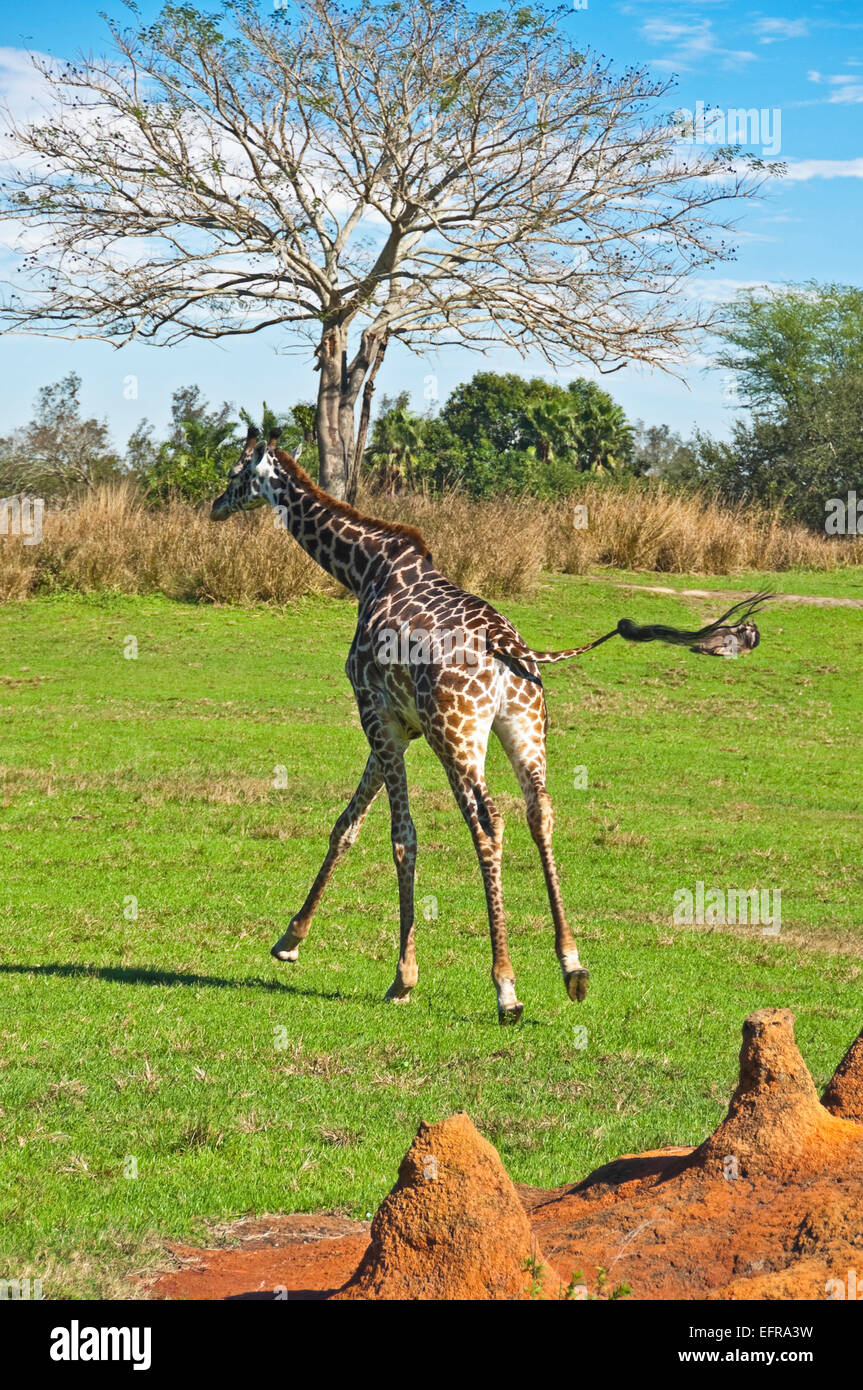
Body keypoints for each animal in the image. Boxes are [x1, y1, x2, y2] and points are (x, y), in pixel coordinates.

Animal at [211, 427, 769, 1023]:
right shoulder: (397, 725)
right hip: (524, 726)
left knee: (487, 822)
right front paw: (289, 940)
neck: (364, 570)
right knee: (539, 812)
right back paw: (572, 967)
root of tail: (509, 650)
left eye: (234, 472)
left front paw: (403, 976)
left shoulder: (377, 716)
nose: (215, 505)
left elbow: (400, 837)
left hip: (457, 735)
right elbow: (347, 824)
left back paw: (506, 986)